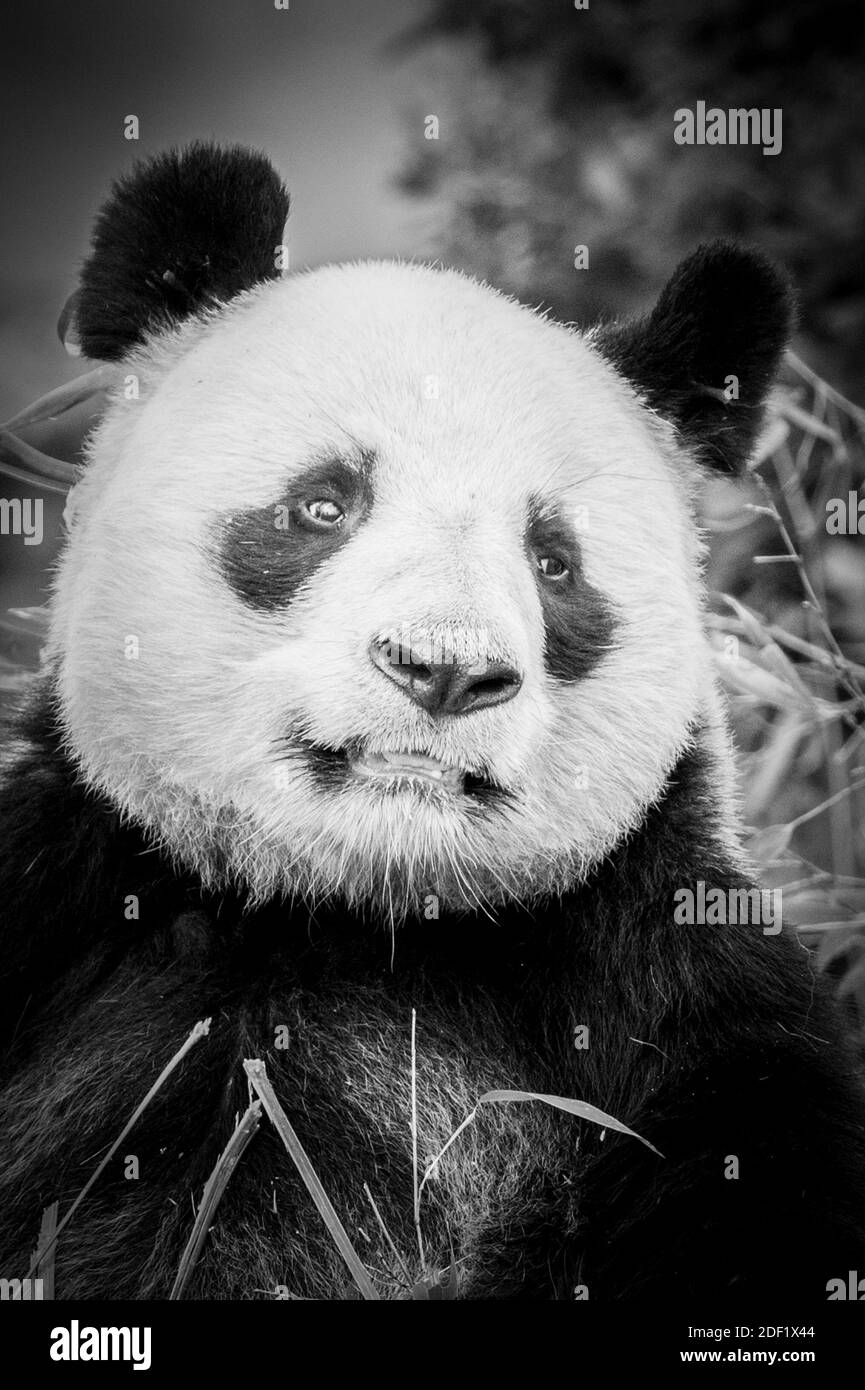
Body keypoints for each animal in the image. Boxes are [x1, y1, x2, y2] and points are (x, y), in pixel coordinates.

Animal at [1, 142, 864, 1302]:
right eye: (324, 505)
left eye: (553, 561)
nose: (445, 671)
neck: (355, 912)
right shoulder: (66, 885)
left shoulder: (671, 981)